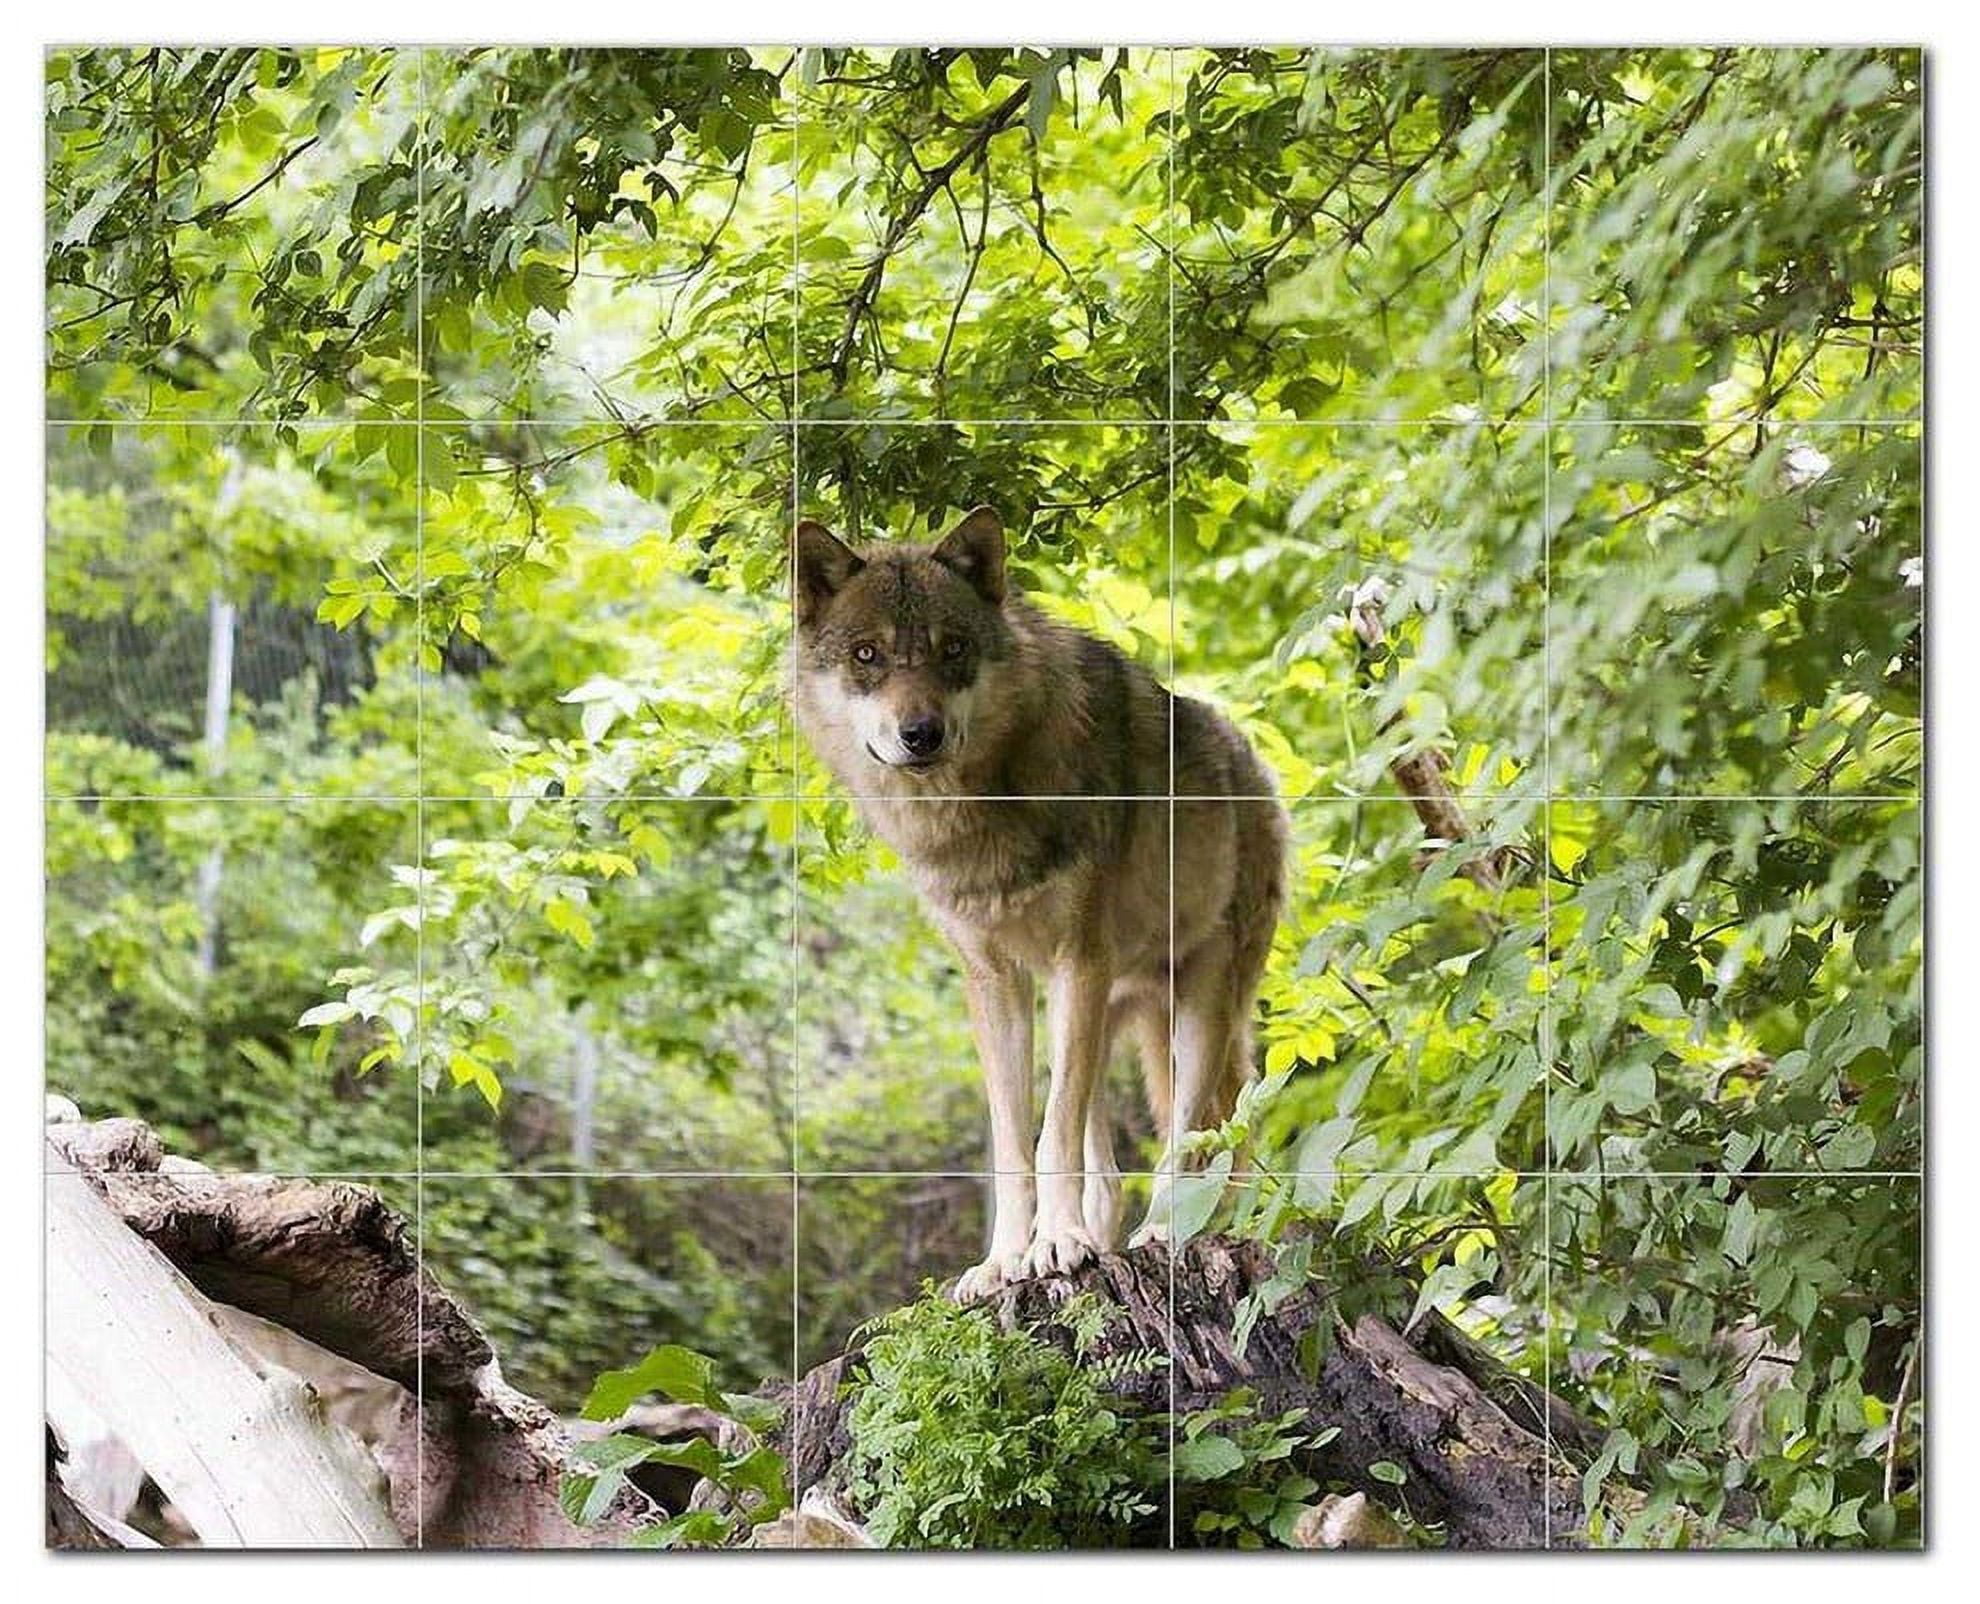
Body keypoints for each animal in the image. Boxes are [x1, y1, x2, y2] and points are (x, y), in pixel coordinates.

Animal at [794, 505, 1288, 1299]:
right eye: (867, 655)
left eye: (953, 648)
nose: (921, 734)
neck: (979, 811)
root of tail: (1253, 760)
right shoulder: (997, 983)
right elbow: (1013, 1142)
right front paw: (1004, 1261)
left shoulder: (1075, 960)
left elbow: (1051, 1133)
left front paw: (1054, 1243)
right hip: (1110, 1011)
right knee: (1112, 1165)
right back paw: (1108, 1236)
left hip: (1196, 1009)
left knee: (1197, 1130)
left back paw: (1169, 1232)